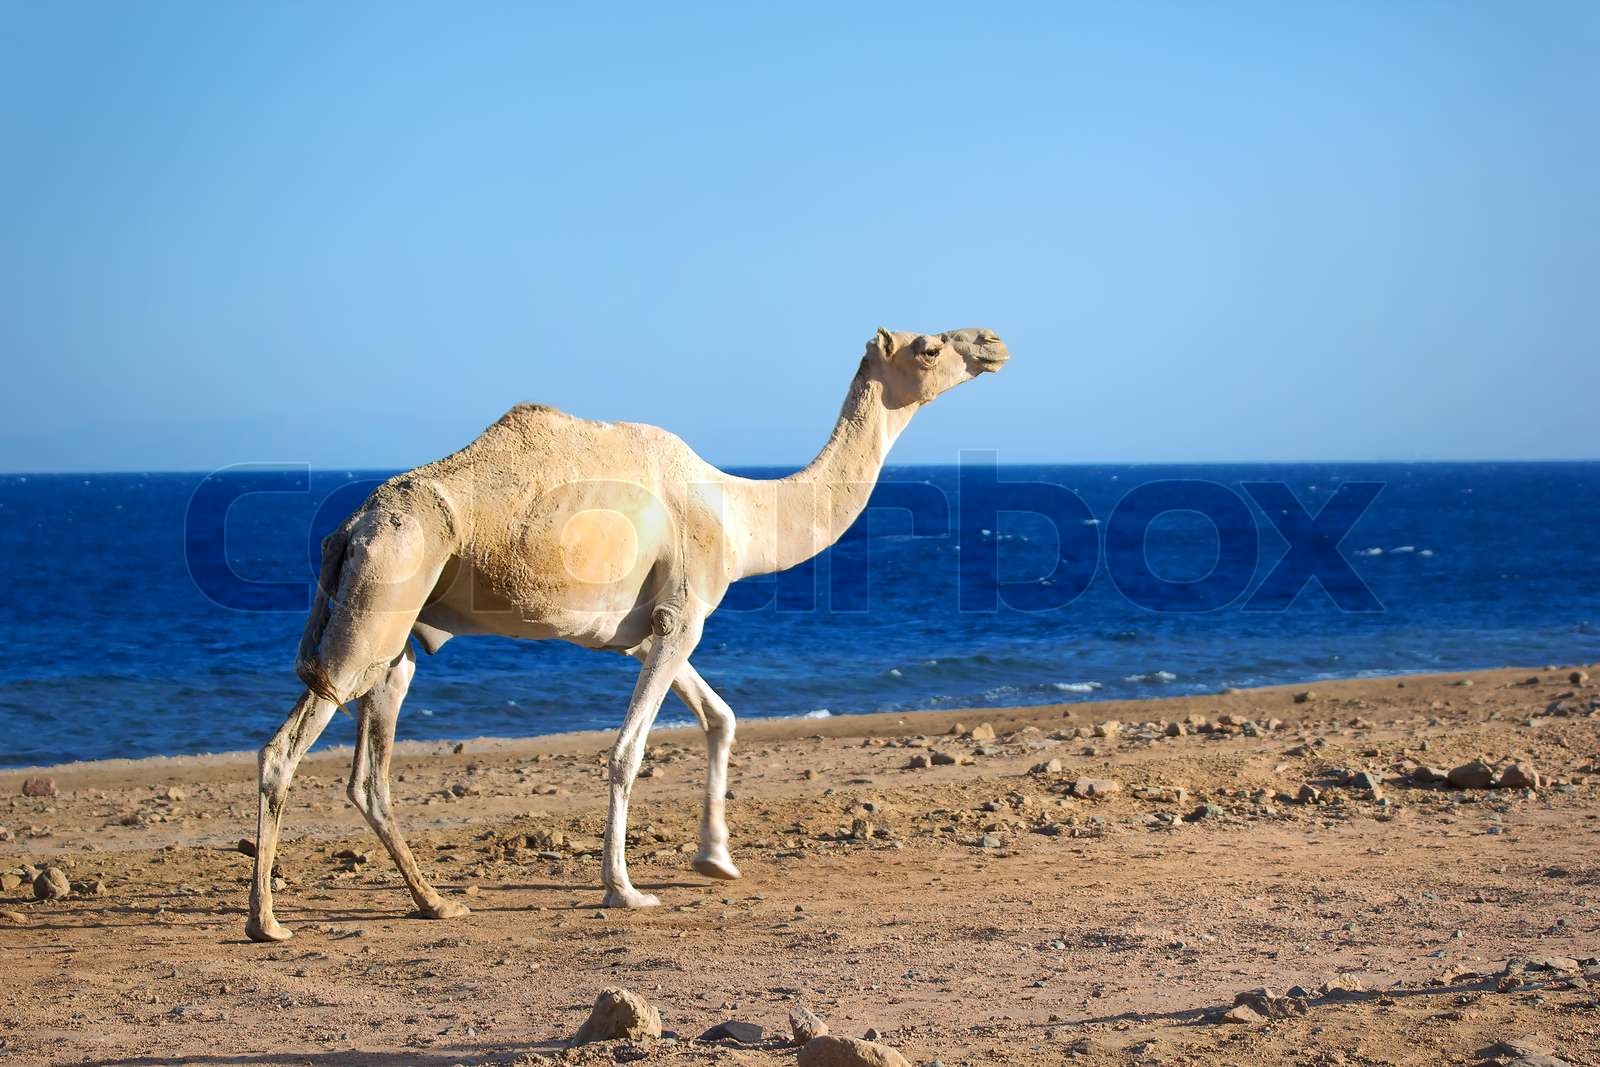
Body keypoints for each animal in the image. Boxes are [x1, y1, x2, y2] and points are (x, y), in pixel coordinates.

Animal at [246, 326, 1010, 942]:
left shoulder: (645, 631)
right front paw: (625, 890)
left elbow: (721, 718)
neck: (739, 513)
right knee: (286, 748)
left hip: (399, 629)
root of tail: (348, 529)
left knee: (368, 773)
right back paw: (268, 922)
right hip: (381, 596)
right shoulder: (683, 617)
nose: (993, 341)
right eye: (929, 346)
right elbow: (627, 751)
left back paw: (435, 902)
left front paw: (716, 859)